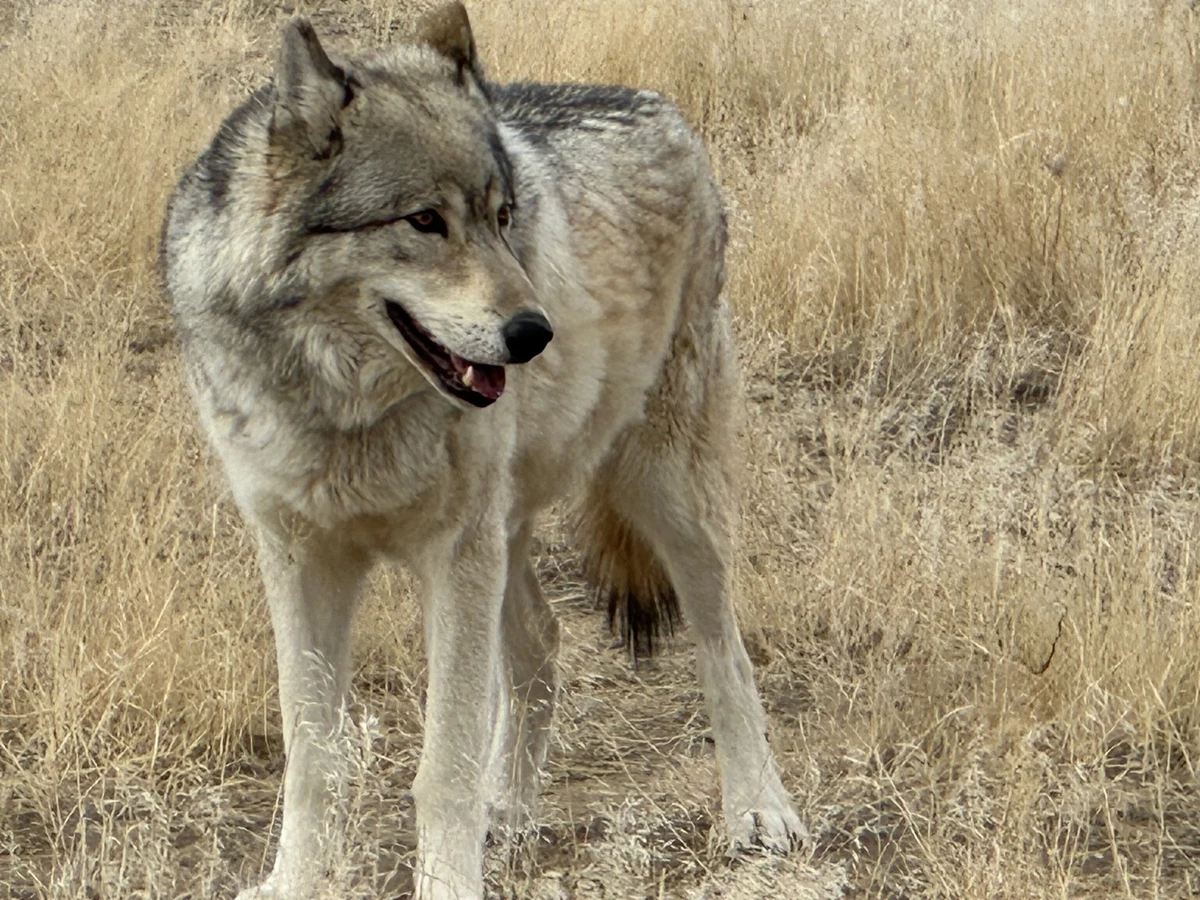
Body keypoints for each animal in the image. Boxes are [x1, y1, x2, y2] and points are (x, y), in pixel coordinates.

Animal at [160, 4, 804, 898]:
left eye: (504, 216)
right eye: (424, 220)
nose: (535, 334)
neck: (348, 416)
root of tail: (659, 106)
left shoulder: (452, 556)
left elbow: (444, 767)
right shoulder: (300, 557)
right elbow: (313, 757)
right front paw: (296, 882)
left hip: (661, 496)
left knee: (723, 651)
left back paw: (759, 809)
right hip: (505, 532)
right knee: (542, 639)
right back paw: (512, 805)